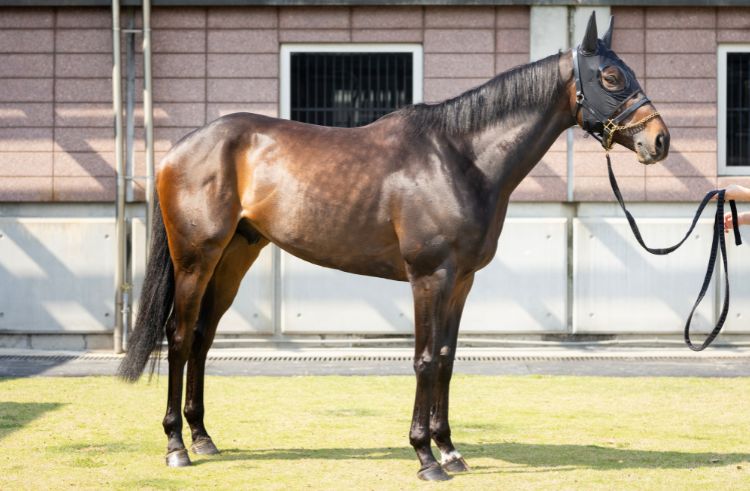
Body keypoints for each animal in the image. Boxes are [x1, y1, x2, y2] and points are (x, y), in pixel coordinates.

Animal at [119, 13, 669, 481]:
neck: (460, 158)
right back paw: (177, 446)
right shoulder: (429, 276)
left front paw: (450, 450)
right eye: (612, 78)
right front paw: (425, 456)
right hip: (196, 258)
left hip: (234, 257)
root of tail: (180, 148)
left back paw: (203, 437)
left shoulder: (461, 281)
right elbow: (424, 358)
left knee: (203, 338)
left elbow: (445, 356)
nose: (659, 141)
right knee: (180, 336)